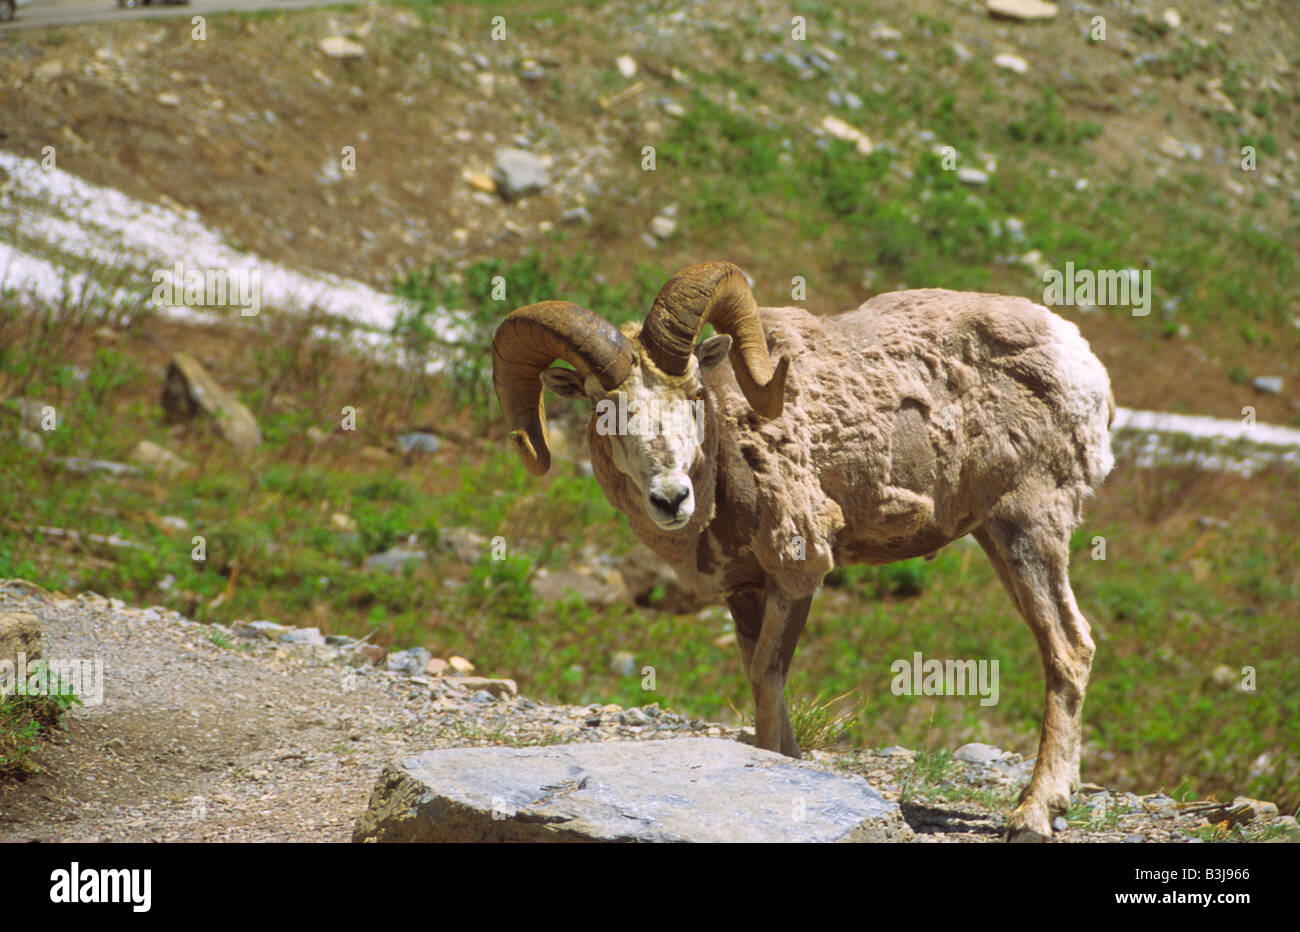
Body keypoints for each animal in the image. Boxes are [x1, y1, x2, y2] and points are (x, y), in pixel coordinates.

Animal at [491, 261, 1114, 842]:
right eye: (603, 408)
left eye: (695, 393)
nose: (671, 497)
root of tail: (1081, 361)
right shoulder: (744, 590)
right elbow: (759, 676)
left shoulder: (796, 570)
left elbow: (768, 678)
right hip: (994, 534)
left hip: (1027, 525)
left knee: (1068, 648)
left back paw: (1033, 815)